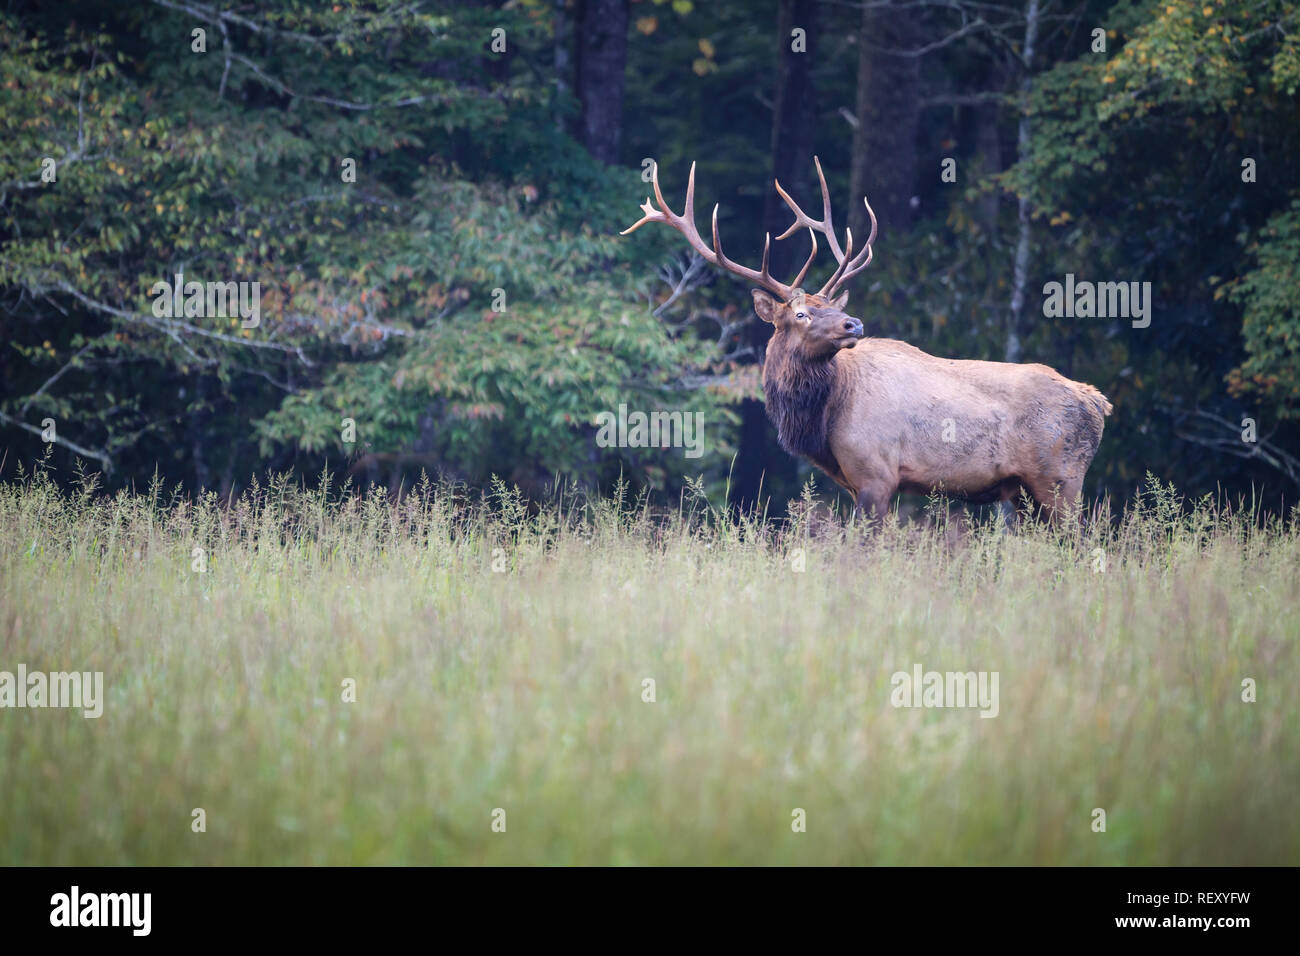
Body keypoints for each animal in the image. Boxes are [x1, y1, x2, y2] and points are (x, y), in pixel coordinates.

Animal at [621, 157, 1113, 525]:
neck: (823, 418)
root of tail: (1098, 401)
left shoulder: (877, 473)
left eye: (831, 307)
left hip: (1061, 480)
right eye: (801, 313)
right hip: (1026, 493)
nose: (853, 324)